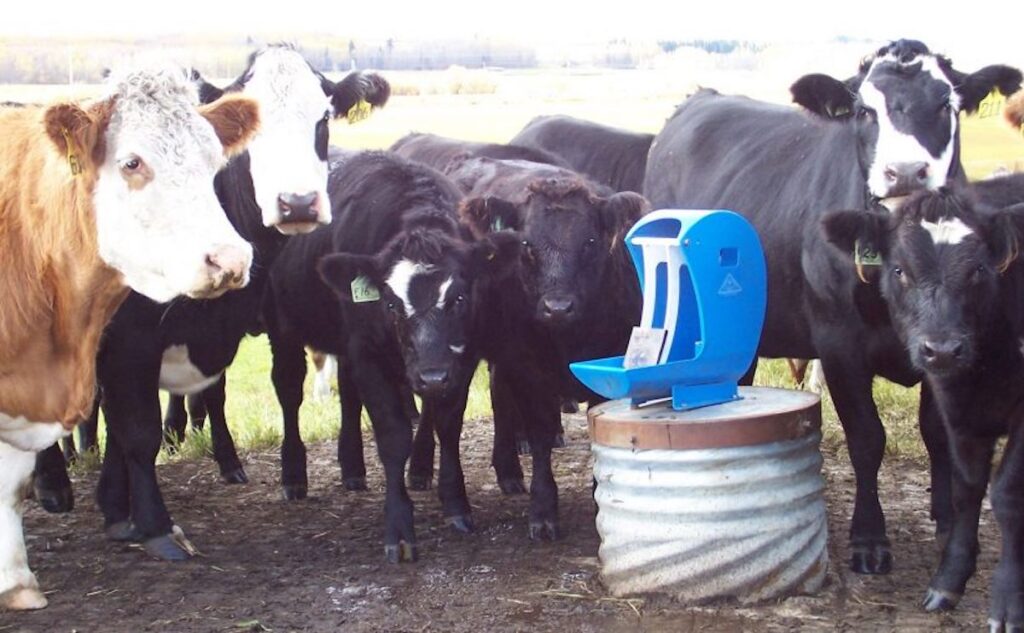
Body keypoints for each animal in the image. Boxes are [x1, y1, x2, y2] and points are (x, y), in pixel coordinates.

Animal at [29, 46, 390, 563]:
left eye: (323, 119)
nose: (298, 203)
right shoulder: (131, 340)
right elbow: (138, 430)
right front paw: (154, 525)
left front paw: (116, 507)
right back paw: (53, 485)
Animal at [263, 150, 519, 560]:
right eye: (391, 305)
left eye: (460, 298)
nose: (432, 376)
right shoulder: (369, 355)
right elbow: (393, 436)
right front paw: (399, 527)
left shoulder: (461, 360)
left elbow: (449, 426)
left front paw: (456, 504)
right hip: (283, 326)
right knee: (289, 392)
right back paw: (293, 475)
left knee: (348, 393)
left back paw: (353, 467)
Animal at [643, 39, 1021, 576]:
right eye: (864, 110)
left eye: (946, 104)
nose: (907, 172)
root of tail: (701, 98)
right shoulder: (839, 344)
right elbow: (867, 438)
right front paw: (868, 539)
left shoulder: (948, 343)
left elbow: (938, 434)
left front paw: (946, 520)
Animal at [821, 188, 1024, 626]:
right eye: (898, 270)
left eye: (979, 269)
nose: (942, 350)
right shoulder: (959, 409)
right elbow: (967, 489)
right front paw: (948, 581)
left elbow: (1006, 494)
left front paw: (1008, 603)